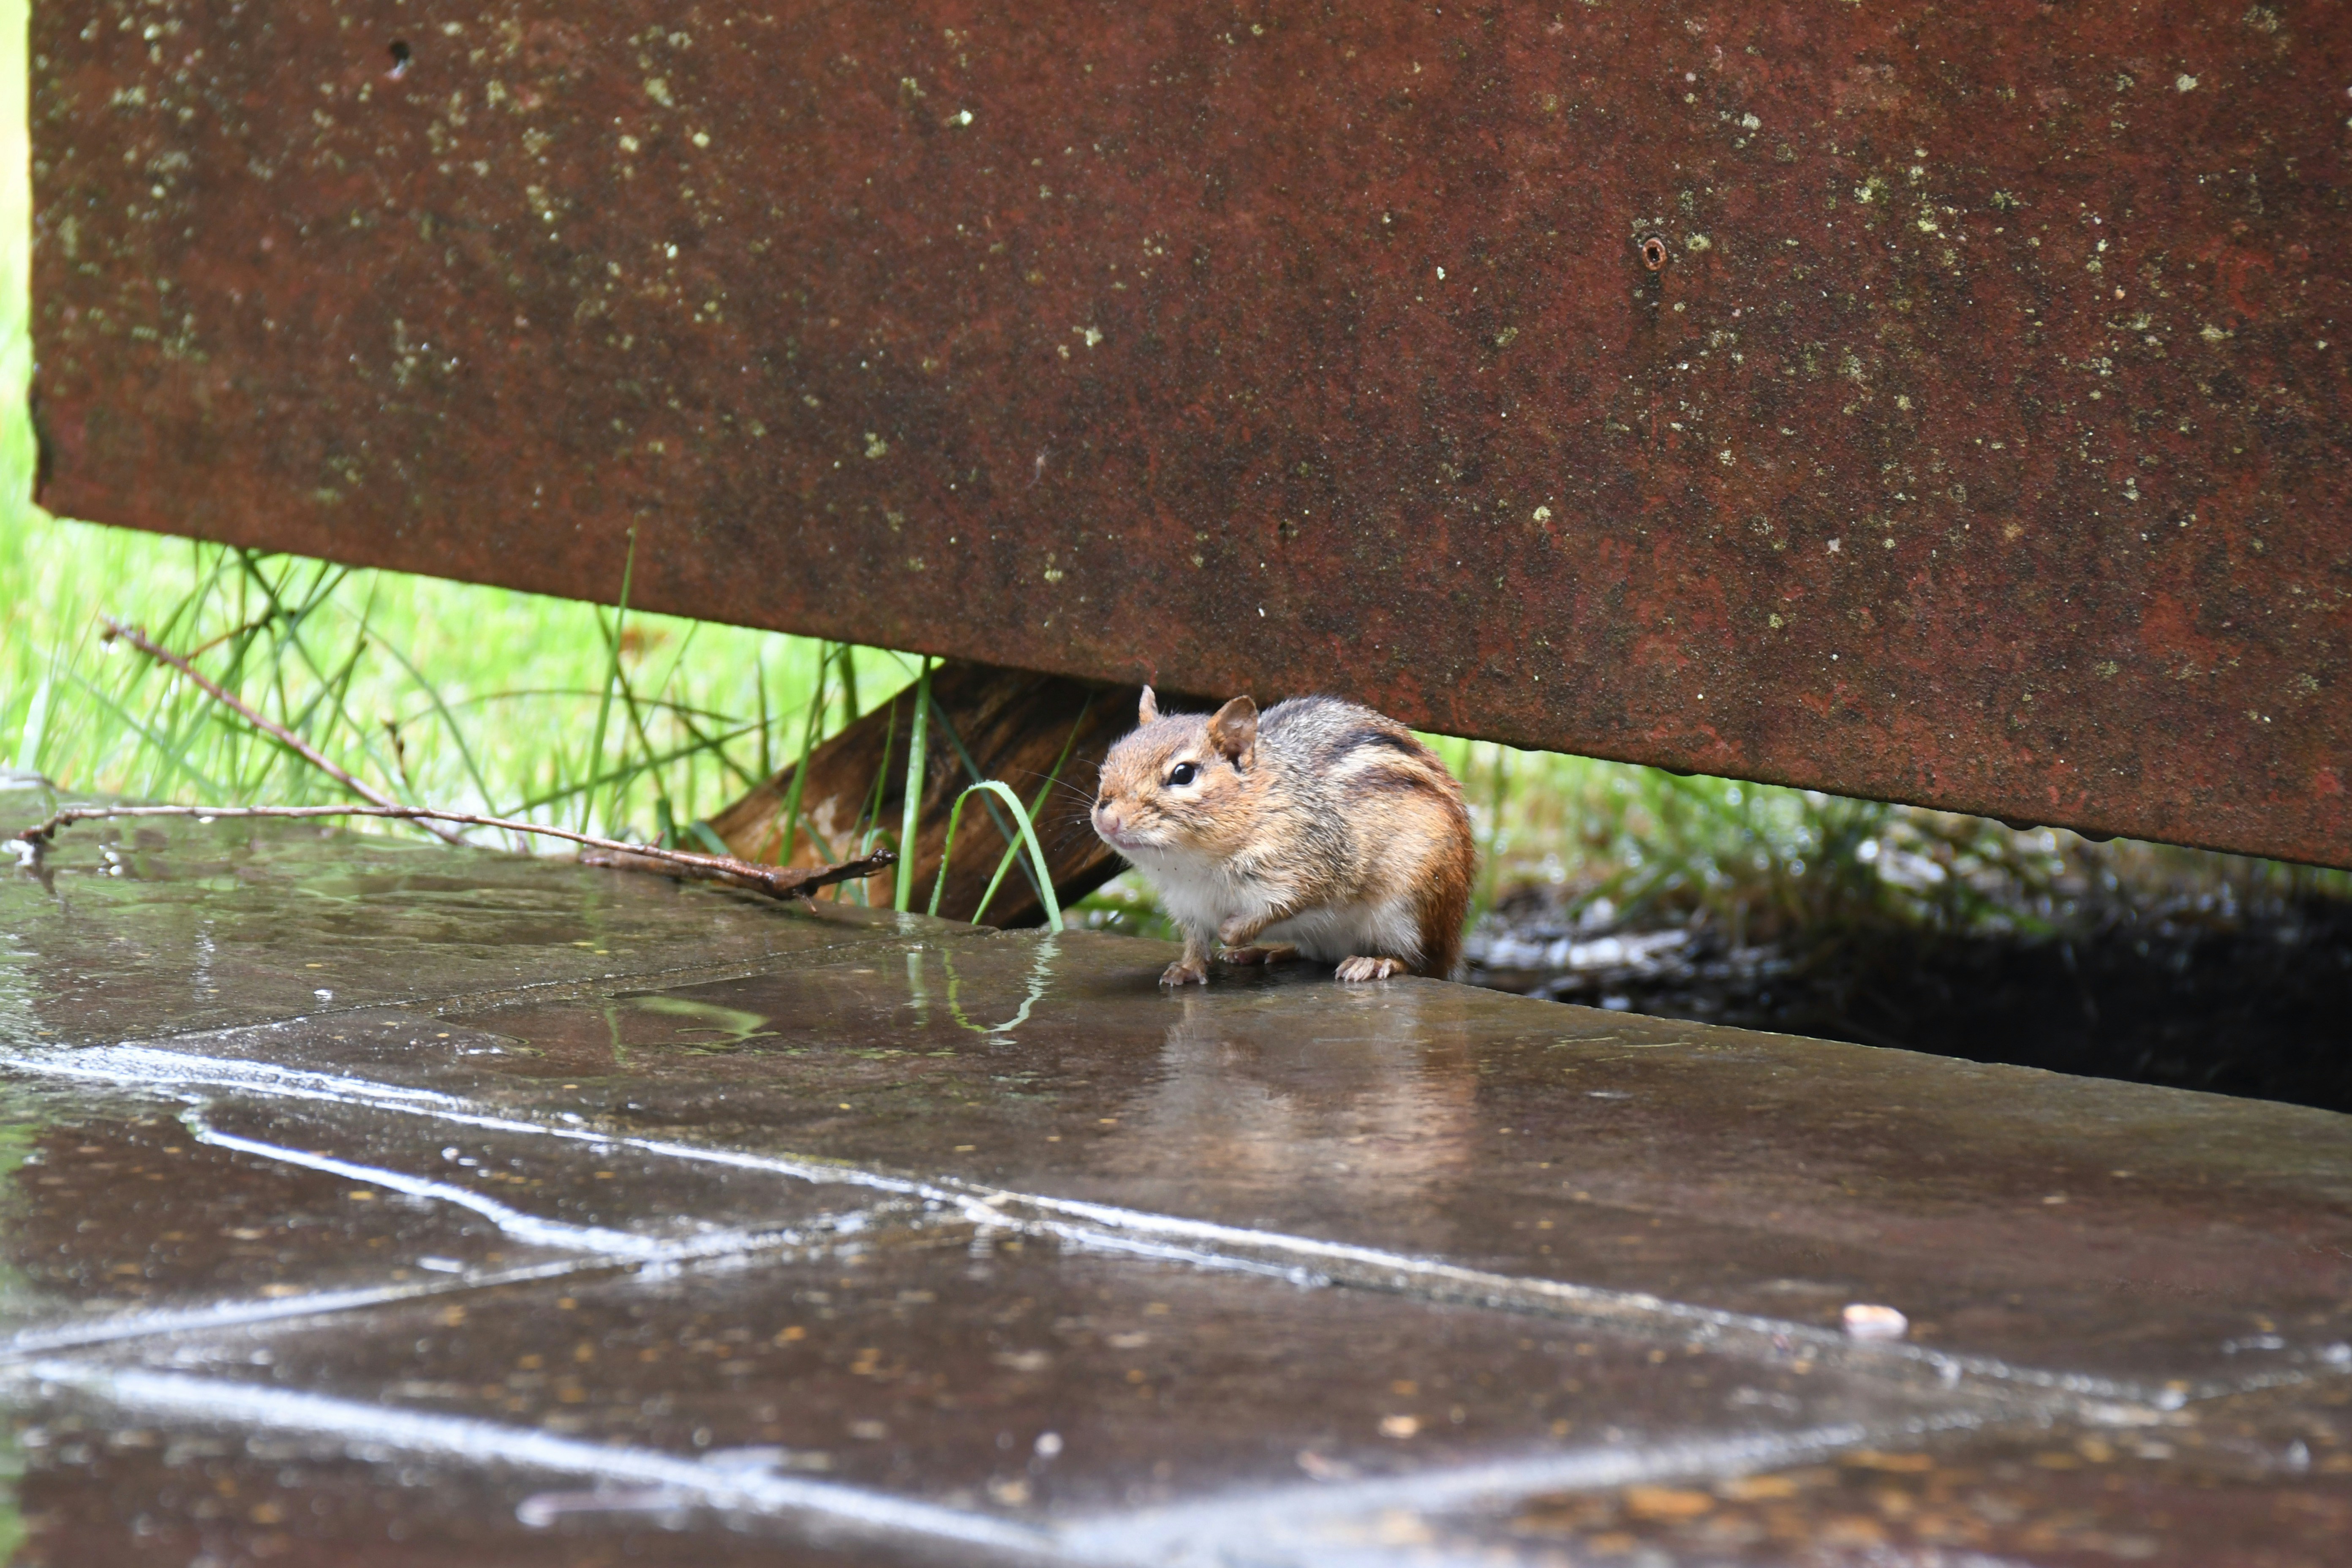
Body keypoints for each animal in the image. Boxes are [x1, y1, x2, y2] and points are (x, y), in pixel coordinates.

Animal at [1089, 688, 1478, 987]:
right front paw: (1187, 968)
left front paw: (1232, 932)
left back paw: (1374, 962)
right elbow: (1195, 941)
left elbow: (1283, 905)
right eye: (1111, 760)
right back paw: (1267, 951)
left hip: (1412, 907)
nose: (1107, 819)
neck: (1192, 865)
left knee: (1415, 961)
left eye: (1183, 774)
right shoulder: (1187, 904)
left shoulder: (1317, 866)